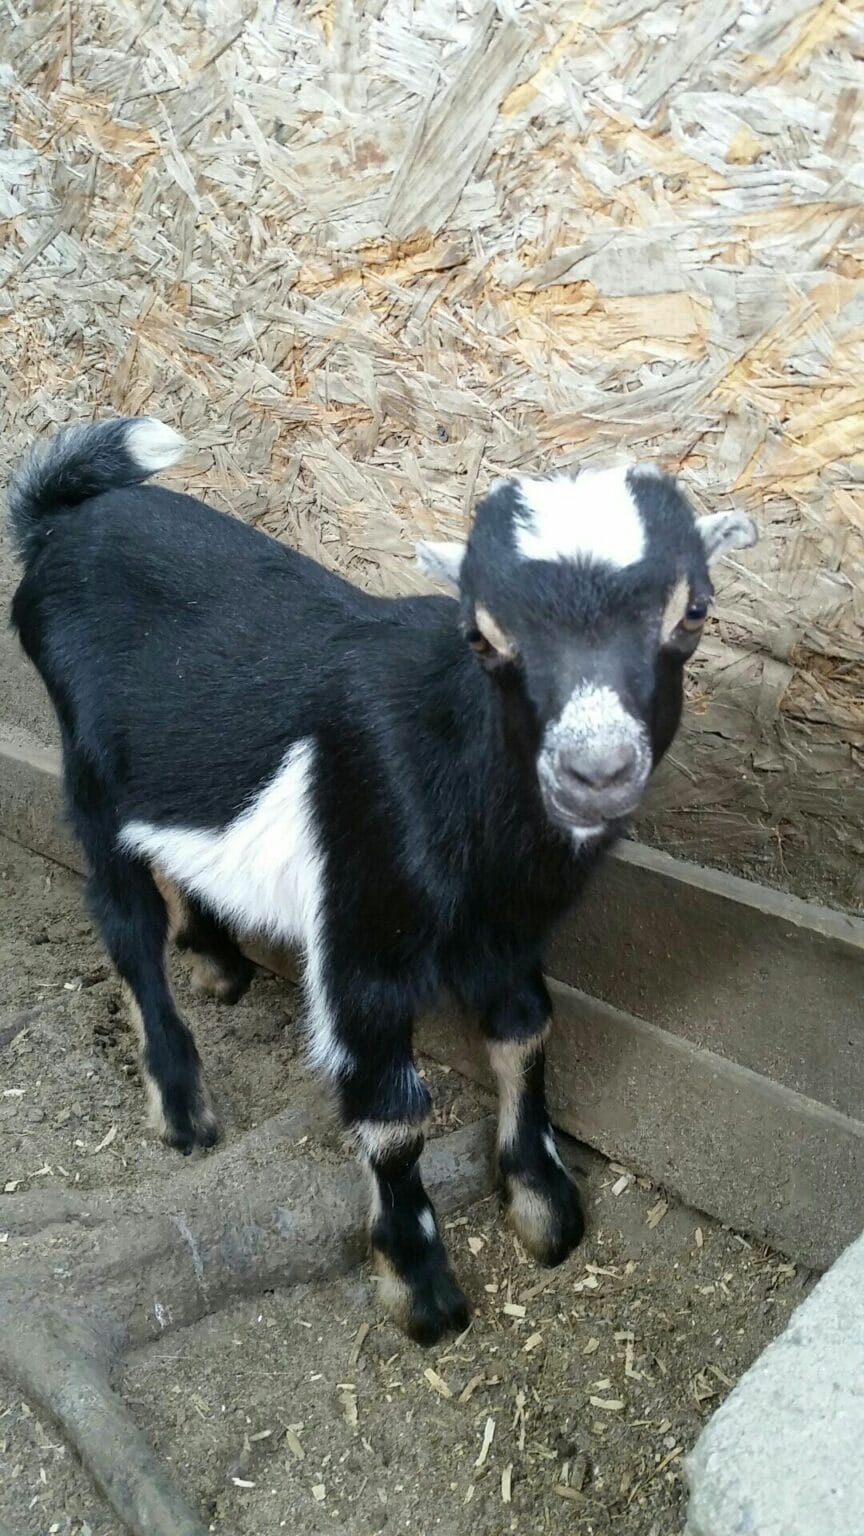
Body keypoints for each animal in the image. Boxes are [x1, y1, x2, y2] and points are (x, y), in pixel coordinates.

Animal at [7, 418, 757, 1343]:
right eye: (480, 633)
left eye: (694, 612)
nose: (596, 772)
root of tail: (57, 525)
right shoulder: (364, 935)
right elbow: (393, 1117)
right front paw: (420, 1287)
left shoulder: (505, 932)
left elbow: (527, 1031)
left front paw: (544, 1203)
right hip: (90, 780)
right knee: (123, 921)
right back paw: (182, 1106)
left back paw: (216, 960)